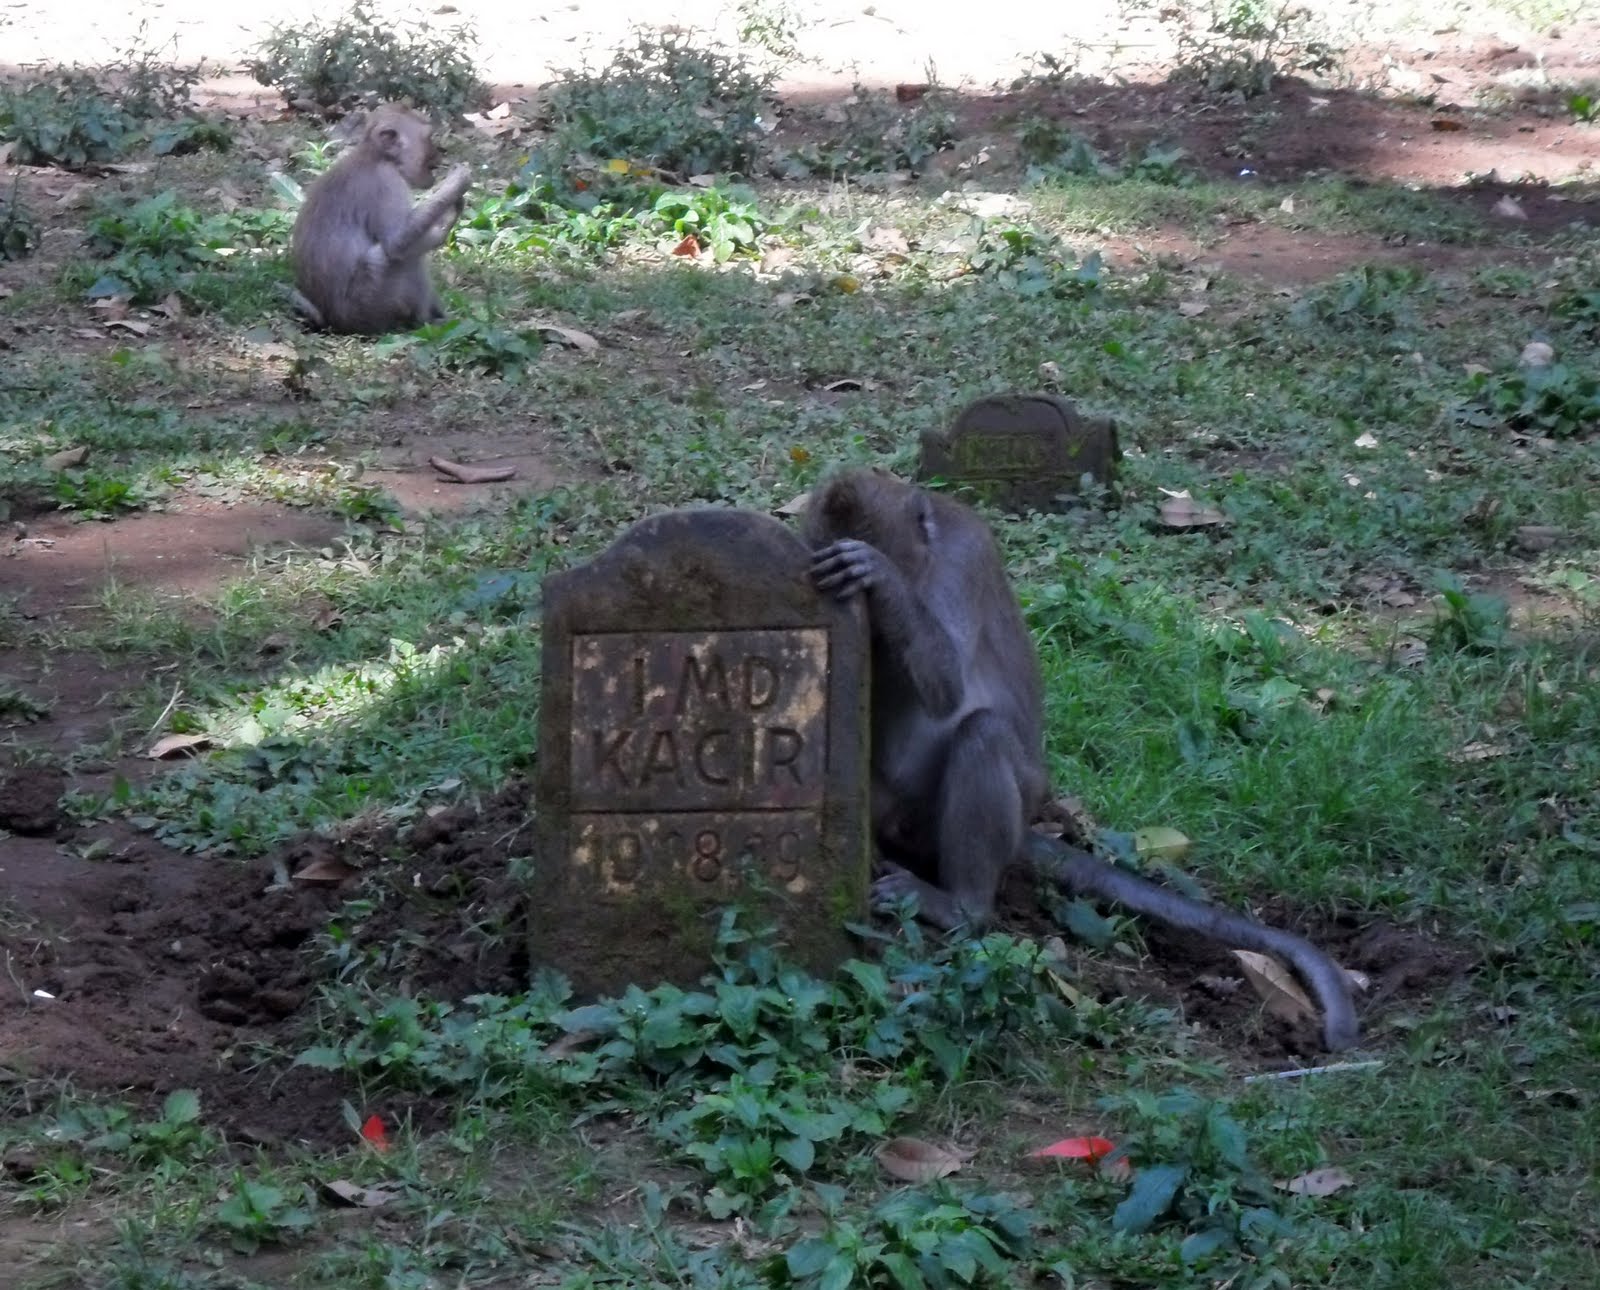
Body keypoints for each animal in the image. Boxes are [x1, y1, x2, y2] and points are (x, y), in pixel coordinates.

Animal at [289, 105, 473, 335]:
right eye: (428, 137)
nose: (440, 156)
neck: (375, 155)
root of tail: (332, 321)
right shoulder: (387, 182)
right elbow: (396, 243)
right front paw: (455, 187)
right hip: (370, 303)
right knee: (397, 257)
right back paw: (425, 322)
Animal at [804, 469, 1359, 1051]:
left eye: (870, 602)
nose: (862, 624)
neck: (931, 550)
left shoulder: (963, 560)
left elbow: (948, 685)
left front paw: (881, 578)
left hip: (970, 811)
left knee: (984, 734)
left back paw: (962, 907)